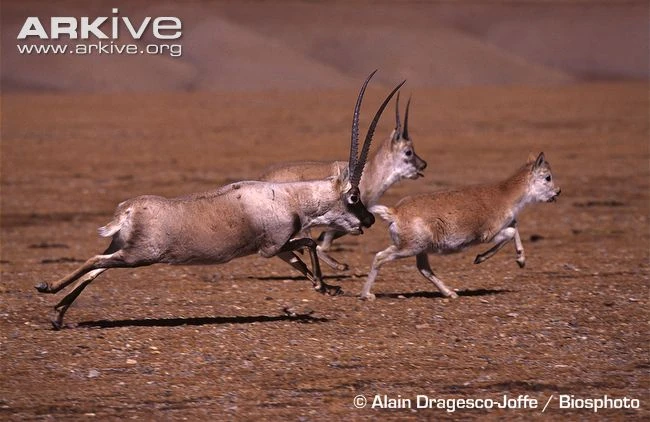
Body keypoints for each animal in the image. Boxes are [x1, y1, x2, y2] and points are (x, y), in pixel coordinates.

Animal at [35, 71, 405, 329]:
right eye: (353, 196)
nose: (369, 219)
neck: (290, 196)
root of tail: (127, 210)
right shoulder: (271, 246)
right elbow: (310, 243)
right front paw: (326, 286)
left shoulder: (279, 250)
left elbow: (300, 259)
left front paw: (325, 288)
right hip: (137, 256)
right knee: (94, 262)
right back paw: (47, 289)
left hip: (124, 250)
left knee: (96, 267)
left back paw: (57, 313)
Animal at [361, 152, 561, 300]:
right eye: (548, 177)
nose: (558, 192)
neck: (505, 195)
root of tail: (393, 212)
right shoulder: (489, 234)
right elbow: (511, 232)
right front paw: (480, 258)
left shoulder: (508, 223)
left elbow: (516, 228)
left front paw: (521, 260)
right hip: (408, 248)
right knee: (380, 257)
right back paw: (366, 295)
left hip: (420, 249)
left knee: (424, 268)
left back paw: (450, 293)